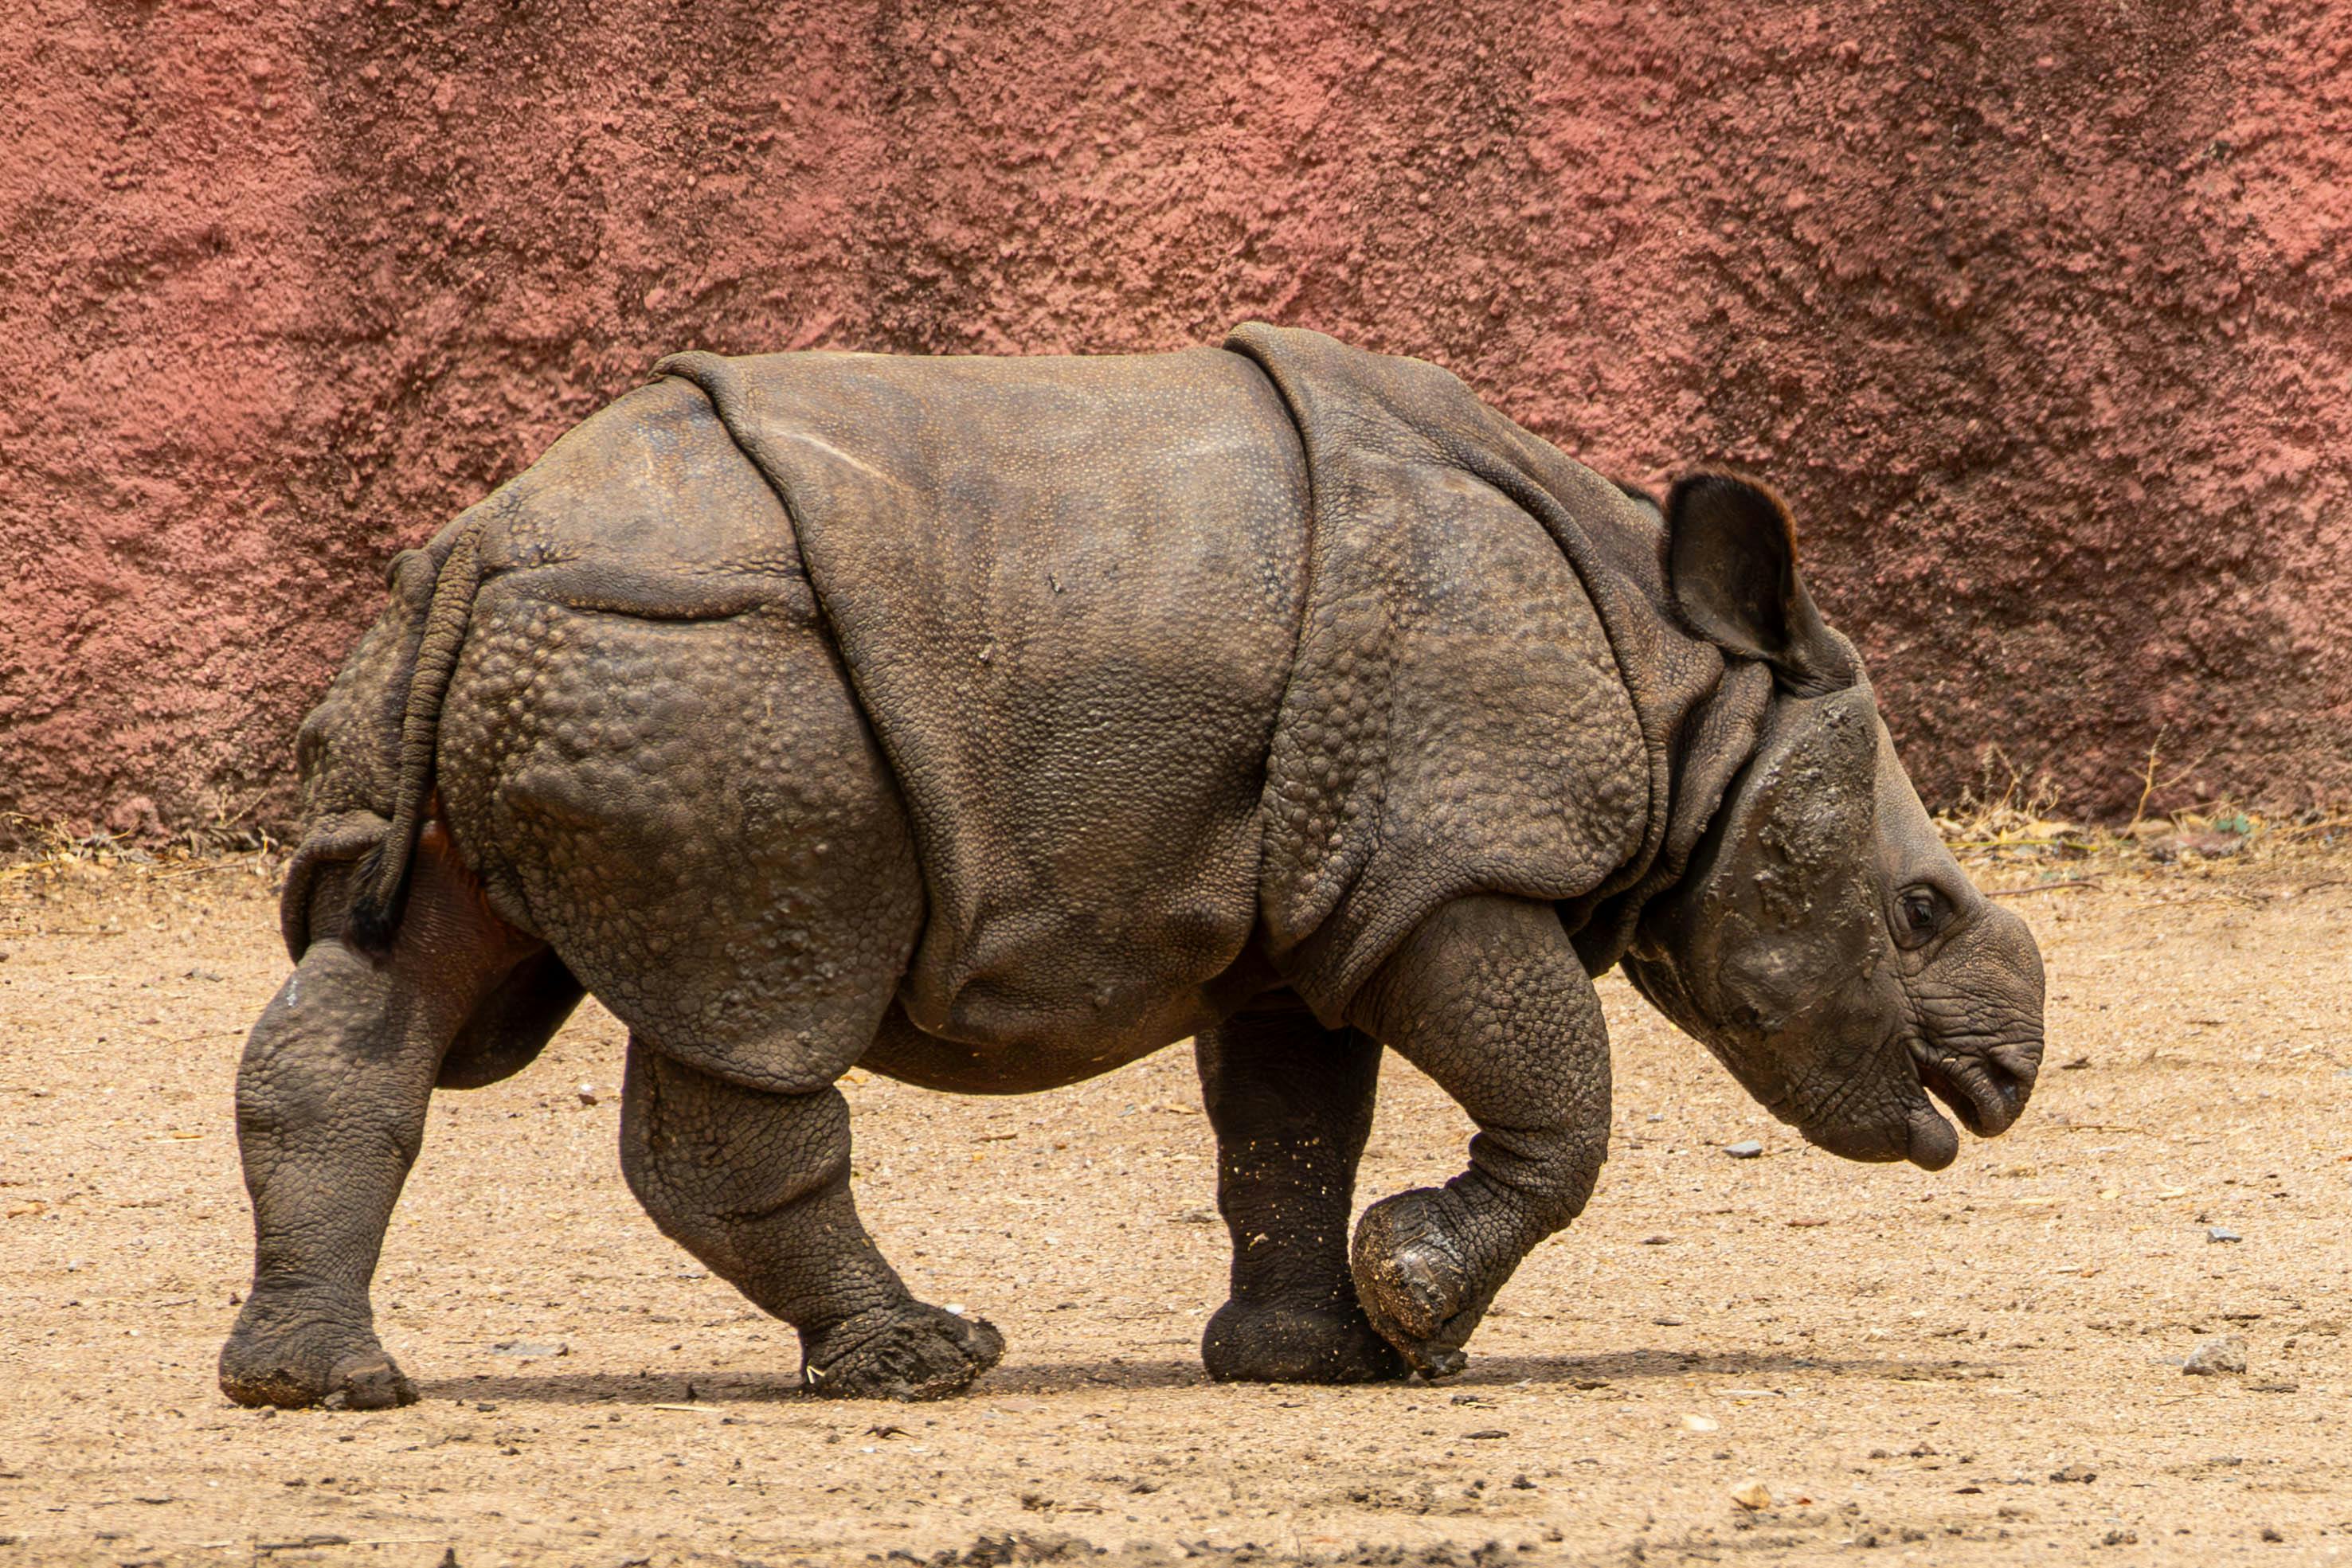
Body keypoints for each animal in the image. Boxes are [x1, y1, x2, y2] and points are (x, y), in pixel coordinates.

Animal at [220, 325, 2045, 1409]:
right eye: (1920, 906)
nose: (2014, 1072)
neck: (1692, 694)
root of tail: (481, 540)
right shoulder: (1445, 855)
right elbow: (1561, 1102)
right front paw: (1418, 1308)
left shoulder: (1317, 892)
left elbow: (1289, 1129)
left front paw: (1311, 1358)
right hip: (715, 668)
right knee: (760, 1012)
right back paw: (927, 1362)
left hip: (547, 651)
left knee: (400, 974)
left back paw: (319, 1386)